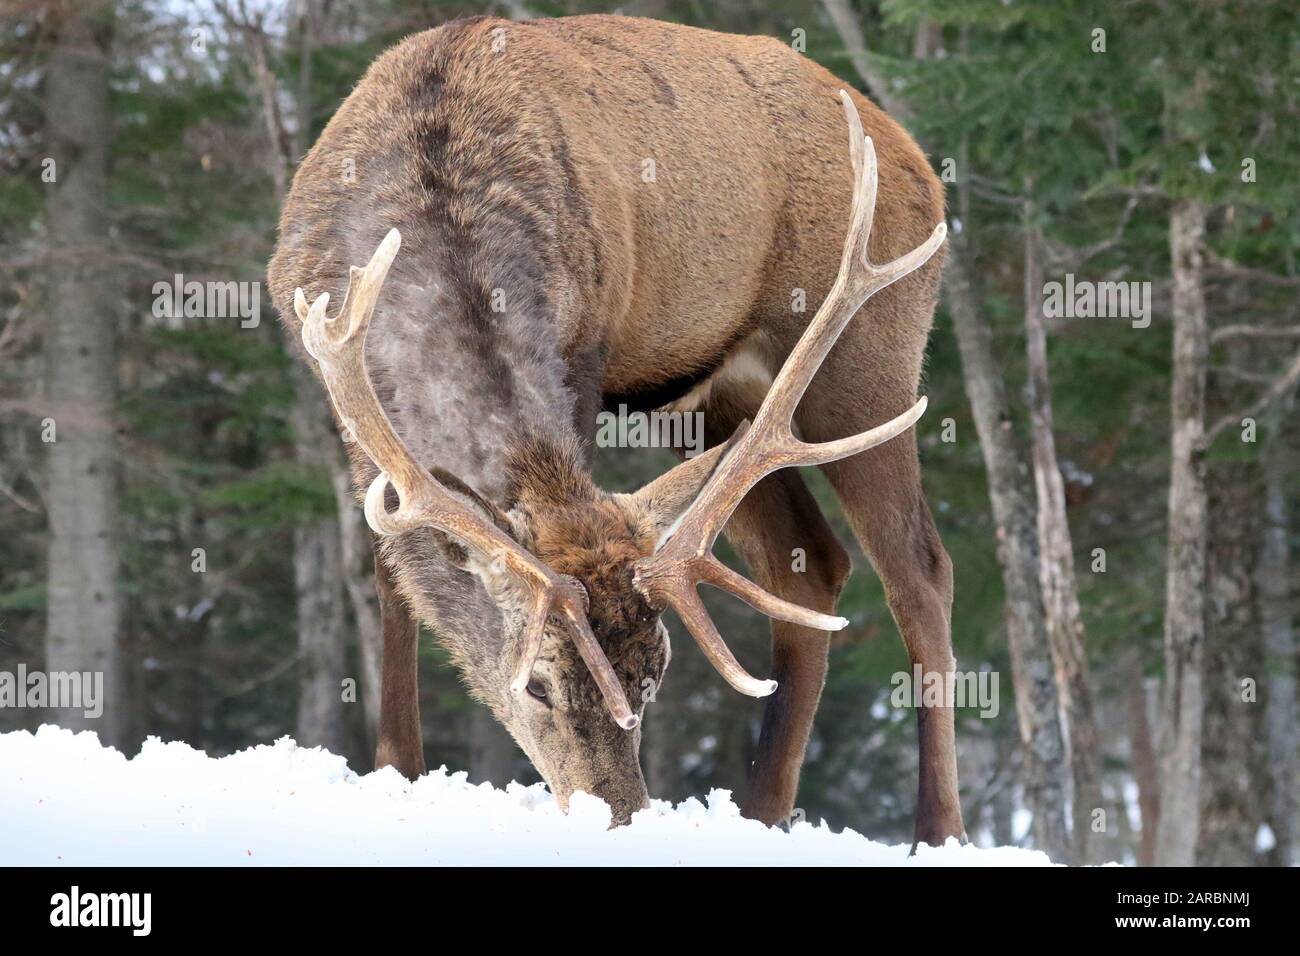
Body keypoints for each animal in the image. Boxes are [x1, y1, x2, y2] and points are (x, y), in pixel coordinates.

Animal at [267, 14, 965, 848]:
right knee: (806, 562)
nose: (620, 815)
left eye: (652, 676)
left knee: (920, 571)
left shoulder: (585, 352)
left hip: (870, 350)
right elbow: (394, 570)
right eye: (536, 684)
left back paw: (939, 831)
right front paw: (396, 771)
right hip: (713, 399)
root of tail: (916, 161)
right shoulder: (335, 384)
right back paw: (762, 814)